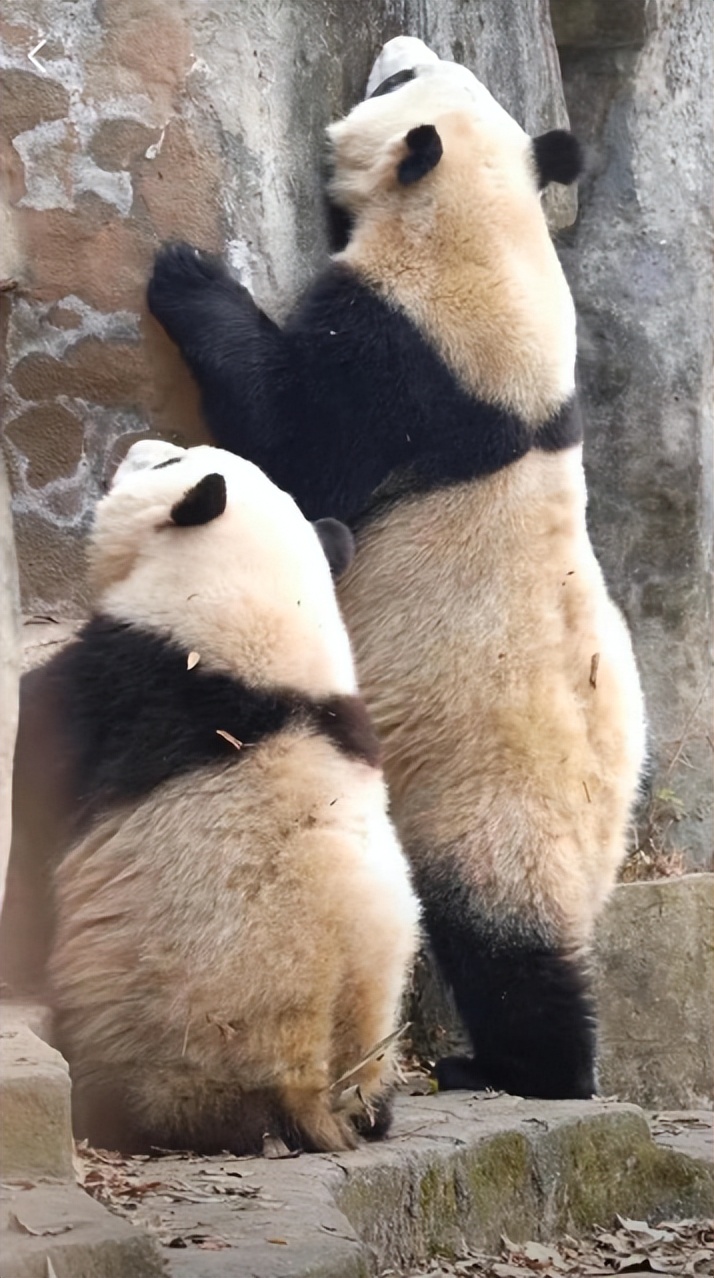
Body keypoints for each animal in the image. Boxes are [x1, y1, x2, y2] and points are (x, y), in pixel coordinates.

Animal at [146, 41, 646, 1100]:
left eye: (394, 86)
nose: (400, 46)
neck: (491, 230)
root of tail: (604, 835)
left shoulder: (413, 362)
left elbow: (293, 444)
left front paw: (190, 273)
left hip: (492, 797)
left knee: (501, 930)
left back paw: (518, 1068)